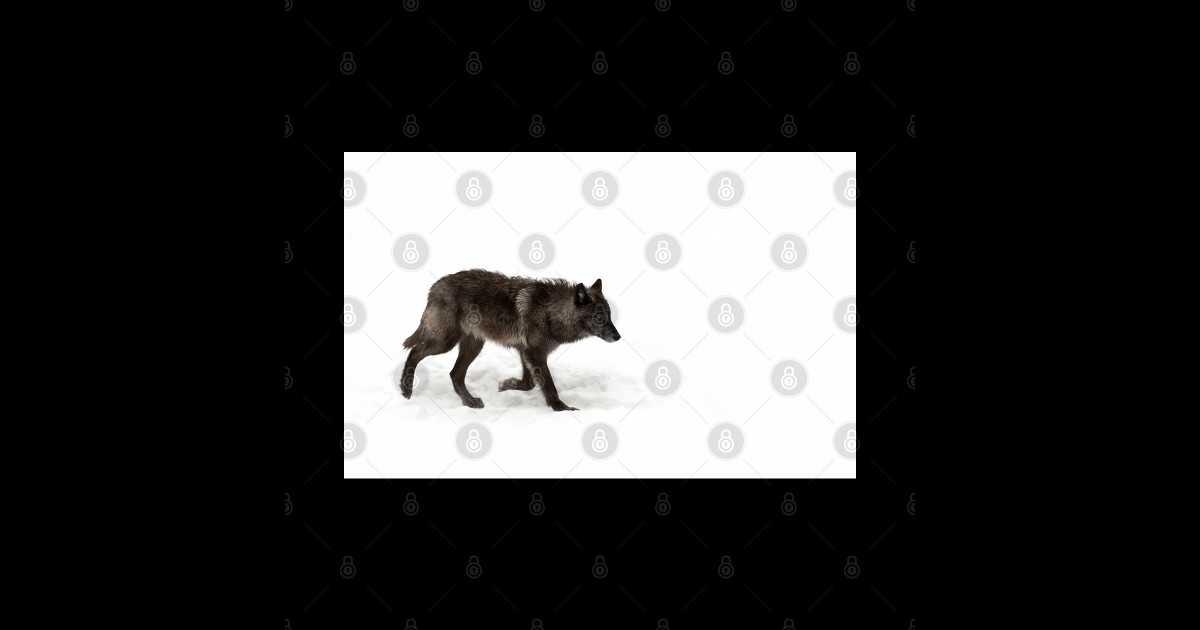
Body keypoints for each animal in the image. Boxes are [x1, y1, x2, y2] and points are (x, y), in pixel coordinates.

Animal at [399, 269, 621, 411]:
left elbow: (529, 383)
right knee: (414, 353)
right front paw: (562, 408)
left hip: (474, 346)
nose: (618, 336)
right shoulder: (534, 353)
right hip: (445, 342)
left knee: (455, 374)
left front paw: (506, 385)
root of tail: (435, 287)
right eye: (599, 317)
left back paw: (470, 402)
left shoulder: (525, 351)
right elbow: (548, 385)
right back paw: (406, 390)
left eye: (609, 315)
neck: (551, 312)